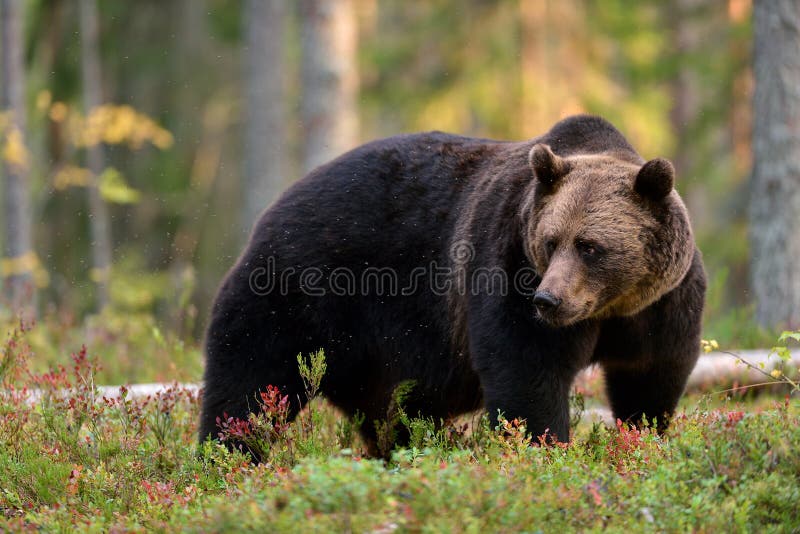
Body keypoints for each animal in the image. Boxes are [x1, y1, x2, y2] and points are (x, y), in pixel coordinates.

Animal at [199, 114, 706, 456]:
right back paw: (225, 458)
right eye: (551, 240)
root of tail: (274, 207)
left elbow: (651, 377)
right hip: (300, 292)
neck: (609, 307)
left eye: (590, 246)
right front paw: (544, 451)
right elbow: (527, 374)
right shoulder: (508, 265)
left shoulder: (662, 305)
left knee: (394, 418)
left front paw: (642, 439)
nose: (548, 299)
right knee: (250, 382)